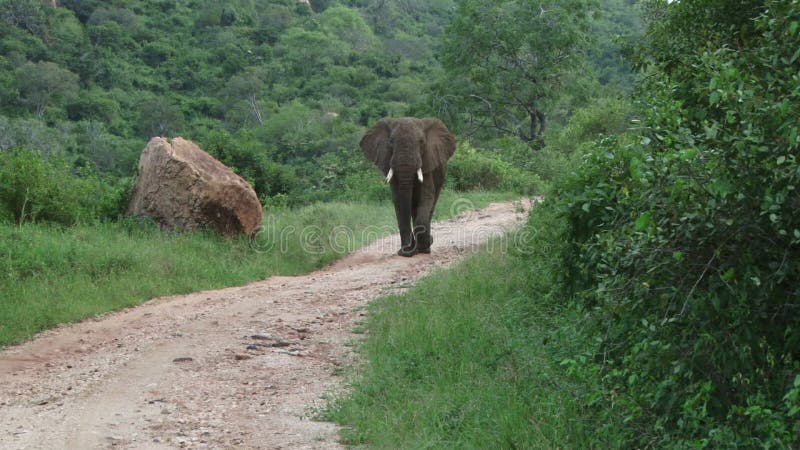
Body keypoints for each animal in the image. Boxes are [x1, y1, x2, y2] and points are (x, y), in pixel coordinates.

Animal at [360, 117, 456, 257]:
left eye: (421, 142)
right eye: (391, 142)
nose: (432, 239)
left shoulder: (427, 163)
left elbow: (426, 197)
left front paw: (423, 247)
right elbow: (399, 201)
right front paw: (406, 252)